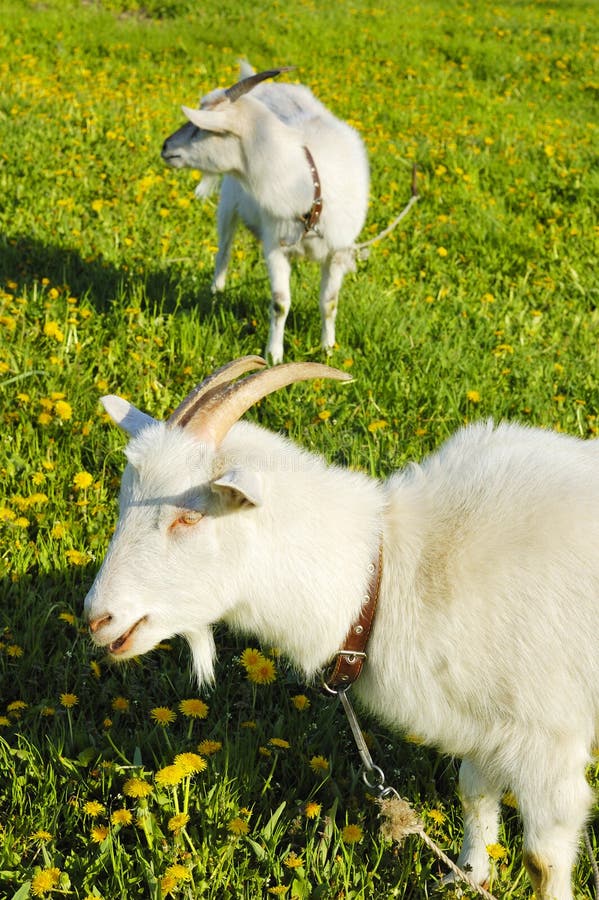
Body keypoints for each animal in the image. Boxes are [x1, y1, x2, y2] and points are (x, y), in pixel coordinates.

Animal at [85, 357, 599, 900]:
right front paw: (469, 874)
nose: (97, 618)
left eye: (188, 517)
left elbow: (543, 860)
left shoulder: (549, 739)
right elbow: (474, 794)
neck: (390, 571)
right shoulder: (483, 722)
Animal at [161, 64, 370, 364]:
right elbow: (280, 303)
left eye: (200, 128)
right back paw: (216, 293)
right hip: (229, 203)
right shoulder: (276, 247)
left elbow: (329, 303)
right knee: (223, 251)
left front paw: (328, 349)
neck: (310, 185)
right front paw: (274, 356)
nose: (165, 147)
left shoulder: (338, 251)